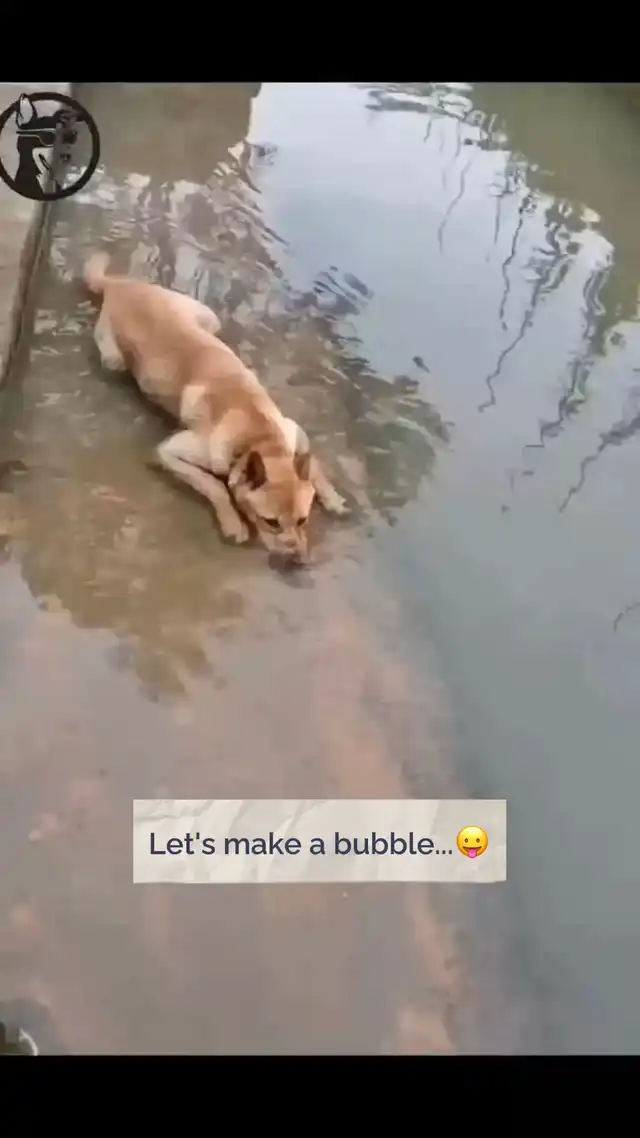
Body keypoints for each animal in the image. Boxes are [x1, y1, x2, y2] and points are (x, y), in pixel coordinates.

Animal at [83, 253, 348, 564]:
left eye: (303, 520)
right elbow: (215, 485)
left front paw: (332, 496)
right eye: (270, 522)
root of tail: (119, 284)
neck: (258, 437)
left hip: (209, 318)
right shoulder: (168, 452)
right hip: (115, 360)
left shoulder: (292, 429)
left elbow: (314, 463)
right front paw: (232, 521)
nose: (298, 561)